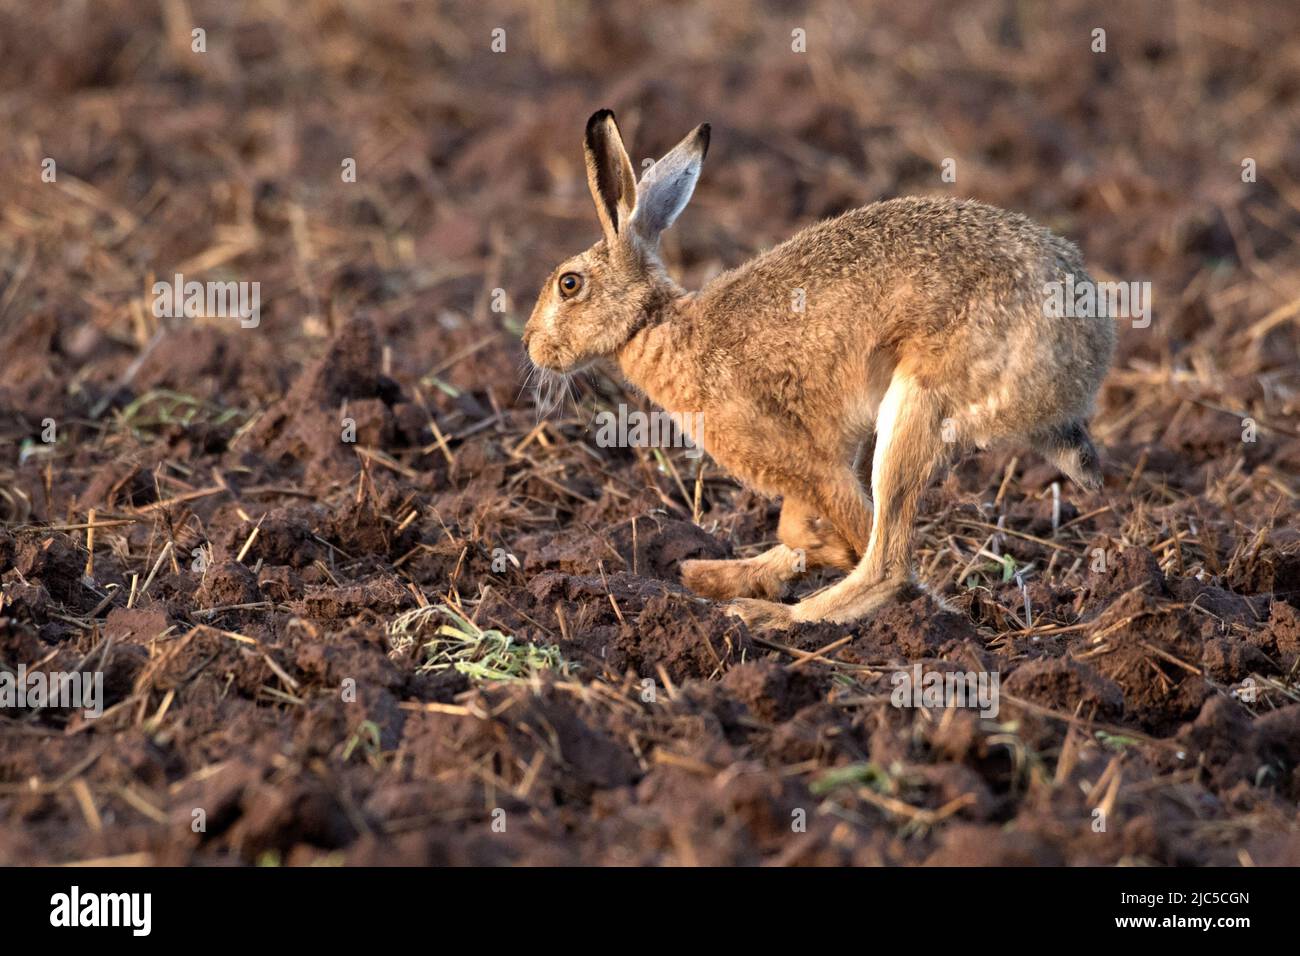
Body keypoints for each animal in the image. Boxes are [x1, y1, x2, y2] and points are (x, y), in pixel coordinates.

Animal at [523, 109, 1115, 630]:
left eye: (569, 284)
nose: (529, 344)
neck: (658, 324)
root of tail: (1084, 362)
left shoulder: (801, 459)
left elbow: (847, 527)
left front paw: (846, 564)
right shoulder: (825, 457)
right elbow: (798, 523)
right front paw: (811, 554)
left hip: (917, 405)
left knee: (888, 561)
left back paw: (771, 615)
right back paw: (712, 574)